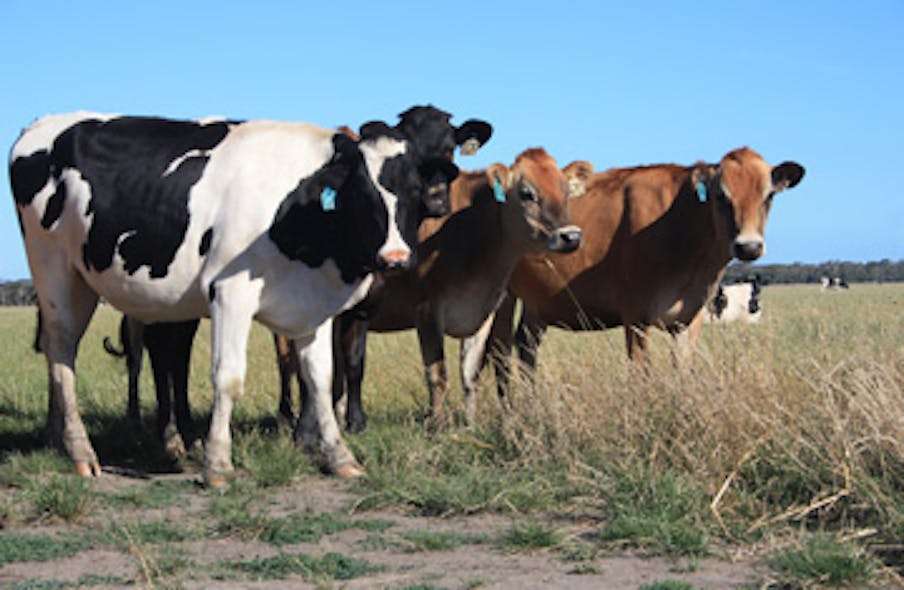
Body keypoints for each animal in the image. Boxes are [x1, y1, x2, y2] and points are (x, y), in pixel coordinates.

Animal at [10, 110, 439, 486]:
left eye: (415, 191)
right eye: (364, 194)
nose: (396, 258)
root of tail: (41, 124)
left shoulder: (312, 307)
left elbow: (319, 379)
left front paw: (340, 457)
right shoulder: (230, 293)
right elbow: (228, 377)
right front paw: (217, 464)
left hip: (82, 281)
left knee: (61, 352)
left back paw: (59, 440)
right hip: (54, 269)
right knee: (62, 352)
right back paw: (81, 451)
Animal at [325, 148, 583, 430]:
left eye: (566, 192)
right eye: (527, 193)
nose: (572, 236)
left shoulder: (484, 312)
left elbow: (470, 373)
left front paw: (471, 424)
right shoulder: (426, 308)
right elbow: (437, 374)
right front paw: (437, 425)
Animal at [487, 147, 804, 391]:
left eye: (769, 196)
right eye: (721, 196)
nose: (748, 247)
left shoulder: (690, 318)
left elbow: (683, 374)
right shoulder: (635, 315)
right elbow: (640, 376)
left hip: (537, 302)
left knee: (527, 349)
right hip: (502, 297)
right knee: (501, 356)